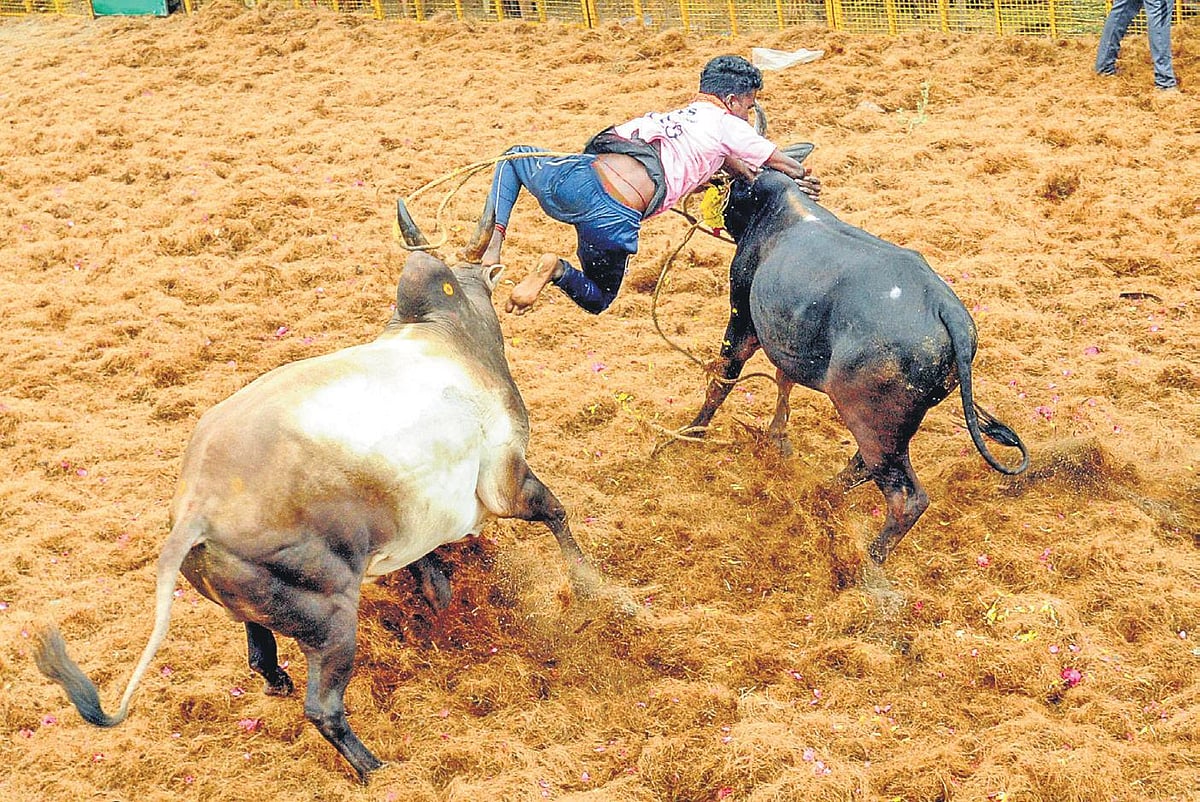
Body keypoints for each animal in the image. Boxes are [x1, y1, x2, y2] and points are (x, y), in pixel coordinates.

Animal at [34, 197, 598, 783]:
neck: (447, 332)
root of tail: (196, 510)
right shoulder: (506, 478)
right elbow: (555, 513)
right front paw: (594, 592)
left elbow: (432, 575)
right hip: (332, 618)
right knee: (323, 709)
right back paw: (378, 771)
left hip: (255, 605)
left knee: (260, 656)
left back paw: (280, 684)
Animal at [684, 151, 1029, 568]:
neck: (772, 210)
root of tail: (947, 312)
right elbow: (783, 381)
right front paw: (776, 438)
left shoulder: (742, 318)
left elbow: (721, 381)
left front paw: (690, 432)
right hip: (889, 429)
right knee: (865, 467)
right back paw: (823, 495)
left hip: (871, 420)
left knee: (906, 498)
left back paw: (865, 565)